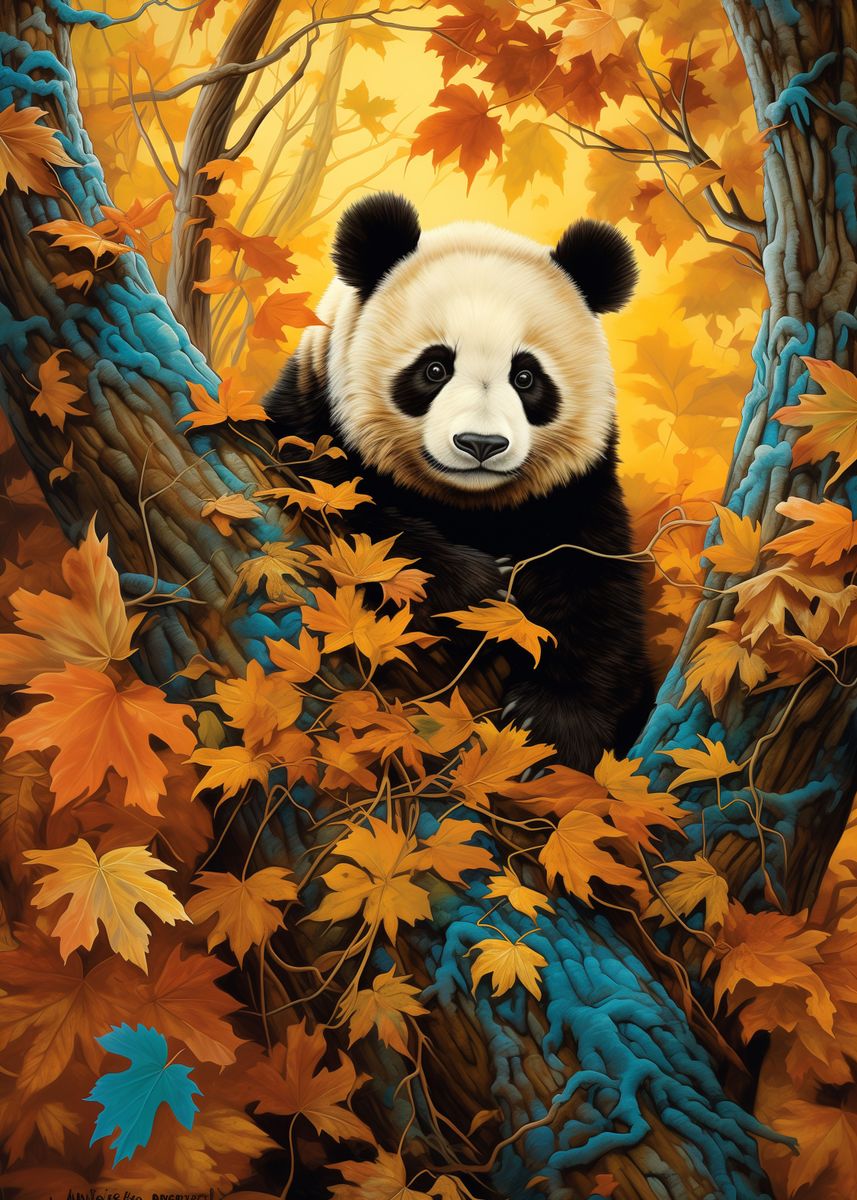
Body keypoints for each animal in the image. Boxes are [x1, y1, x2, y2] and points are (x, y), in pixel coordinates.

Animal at [265, 192, 653, 772]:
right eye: (434, 369)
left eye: (526, 376)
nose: (480, 444)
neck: (469, 506)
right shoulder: (310, 426)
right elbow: (344, 515)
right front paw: (479, 586)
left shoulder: (577, 491)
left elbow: (596, 590)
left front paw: (551, 724)